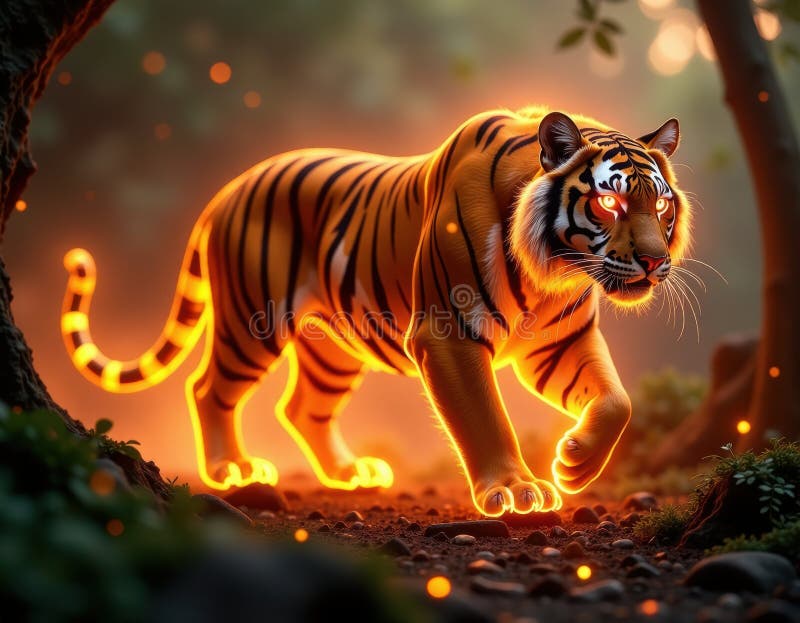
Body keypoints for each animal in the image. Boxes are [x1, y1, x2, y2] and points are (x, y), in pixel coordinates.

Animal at [60, 106, 690, 517]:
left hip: (332, 349)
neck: (554, 272)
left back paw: (351, 476)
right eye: (608, 201)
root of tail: (228, 189)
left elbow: (617, 401)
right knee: (208, 388)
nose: (655, 263)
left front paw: (575, 463)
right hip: (250, 321)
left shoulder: (560, 344)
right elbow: (485, 416)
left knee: (302, 408)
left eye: (660, 205)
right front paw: (515, 490)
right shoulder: (447, 332)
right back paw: (232, 469)